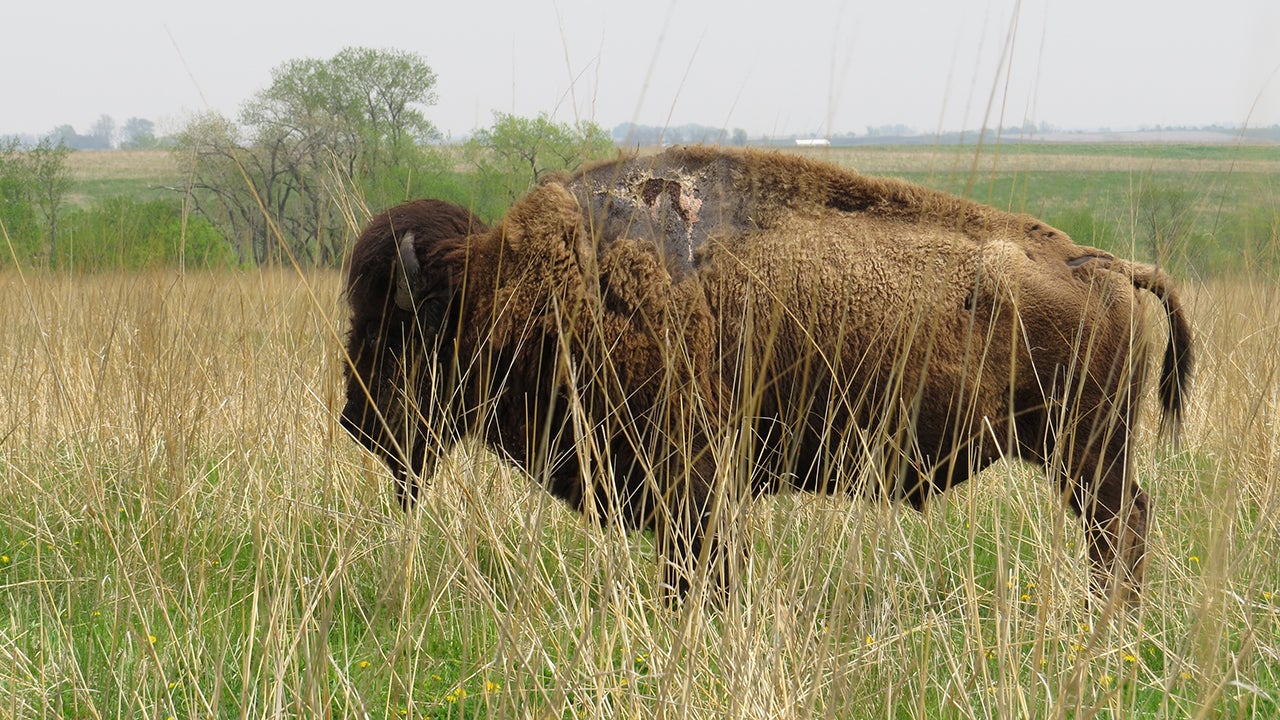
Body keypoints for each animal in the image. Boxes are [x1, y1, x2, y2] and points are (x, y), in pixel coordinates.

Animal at [340, 147, 1192, 604]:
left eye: (393, 328)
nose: (355, 419)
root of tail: (1106, 264)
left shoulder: (691, 483)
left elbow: (696, 570)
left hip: (1085, 455)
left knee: (1121, 525)